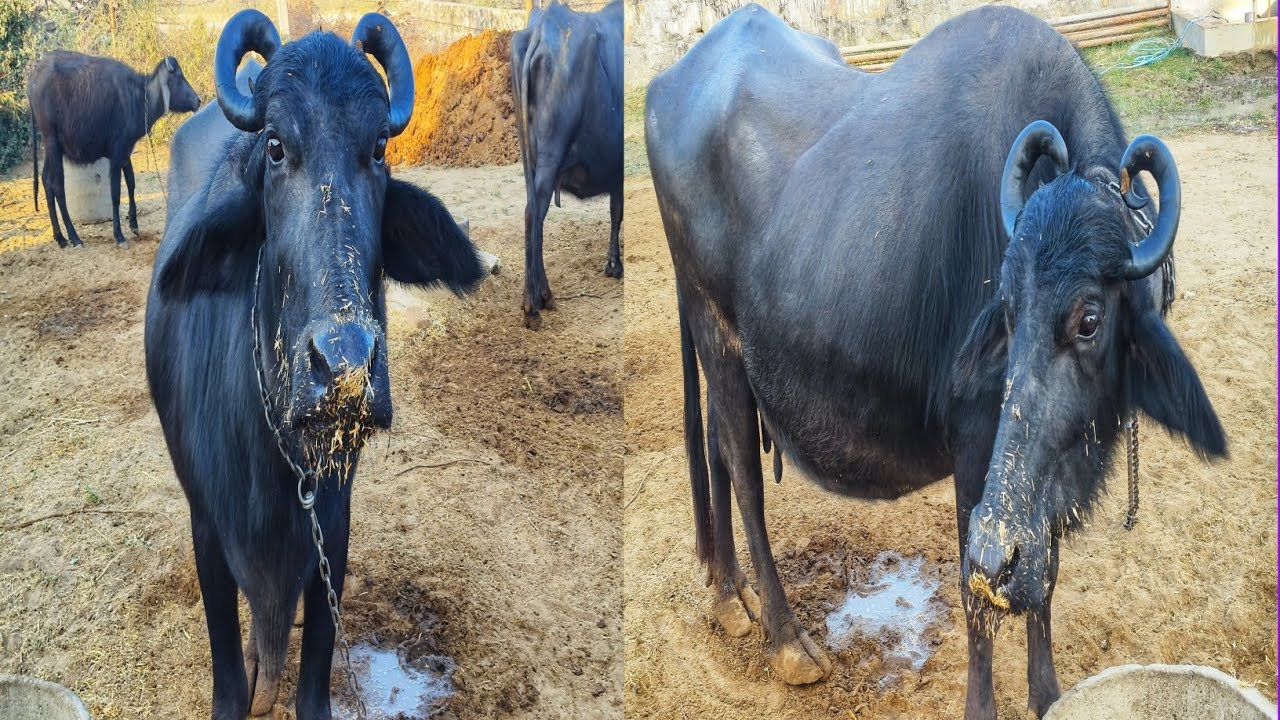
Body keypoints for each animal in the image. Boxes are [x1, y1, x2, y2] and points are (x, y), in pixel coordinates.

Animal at [28, 50, 200, 247]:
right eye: (179, 78)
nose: (198, 100)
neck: (138, 98)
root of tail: (34, 79)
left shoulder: (126, 150)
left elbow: (131, 182)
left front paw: (134, 224)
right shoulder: (117, 154)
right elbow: (116, 194)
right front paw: (119, 235)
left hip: (51, 149)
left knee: (46, 181)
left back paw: (60, 237)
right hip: (53, 143)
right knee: (58, 187)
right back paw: (74, 237)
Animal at [145, 10, 486, 718]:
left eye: (379, 148)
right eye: (276, 147)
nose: (347, 365)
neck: (273, 461)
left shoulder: (334, 520)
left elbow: (315, 669)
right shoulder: (207, 529)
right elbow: (227, 674)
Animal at [511, 0, 623, 329]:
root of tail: (541, 29)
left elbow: (615, 210)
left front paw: (612, 264)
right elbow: (618, 211)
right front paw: (615, 265)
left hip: (531, 157)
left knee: (533, 213)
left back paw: (542, 296)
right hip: (550, 155)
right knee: (533, 214)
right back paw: (533, 305)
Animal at [645, 5, 1226, 718]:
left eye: (1089, 319)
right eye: (1007, 307)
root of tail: (667, 85)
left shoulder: (1033, 479)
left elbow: (1041, 573)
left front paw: (1047, 693)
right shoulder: (977, 449)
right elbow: (979, 595)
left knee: (718, 453)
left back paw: (731, 597)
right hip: (715, 330)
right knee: (742, 467)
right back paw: (786, 643)